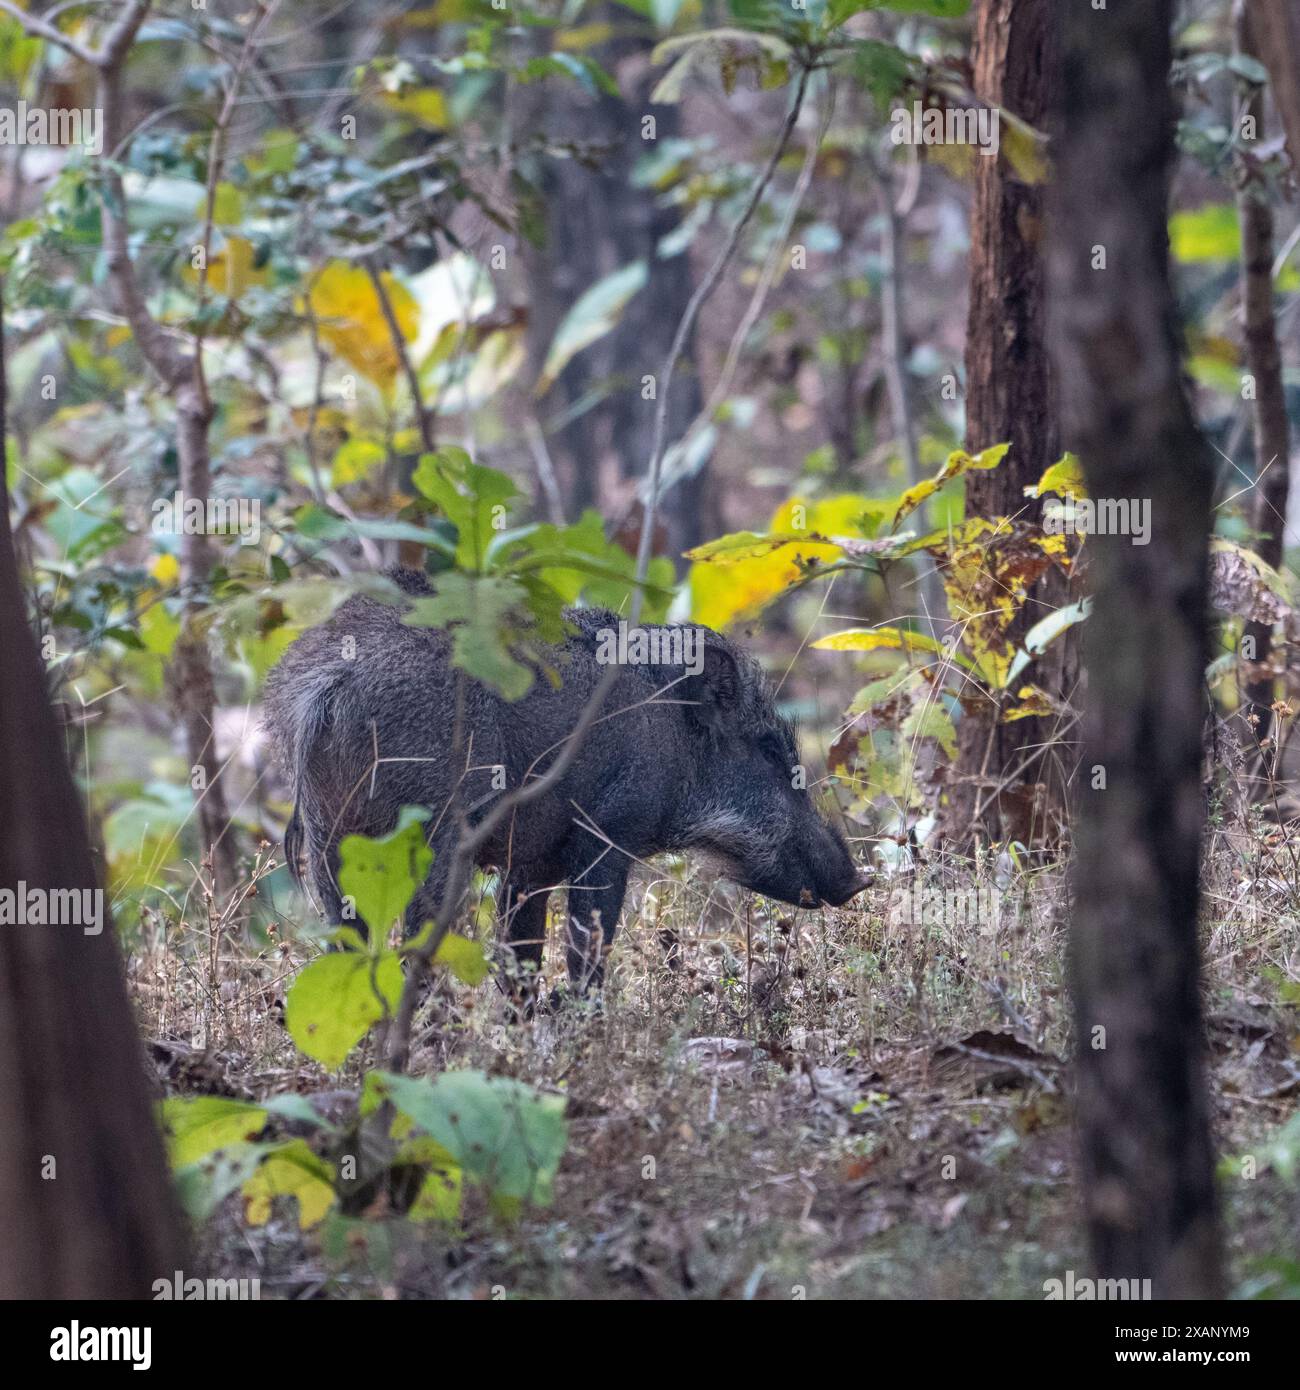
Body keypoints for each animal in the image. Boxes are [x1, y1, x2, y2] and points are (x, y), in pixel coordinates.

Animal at [262, 567, 871, 997]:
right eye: (768, 749)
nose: (857, 881)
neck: (674, 735)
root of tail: (330, 680)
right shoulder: (606, 838)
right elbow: (586, 951)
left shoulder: (527, 866)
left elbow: (522, 961)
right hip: (428, 836)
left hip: (329, 844)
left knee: (345, 944)